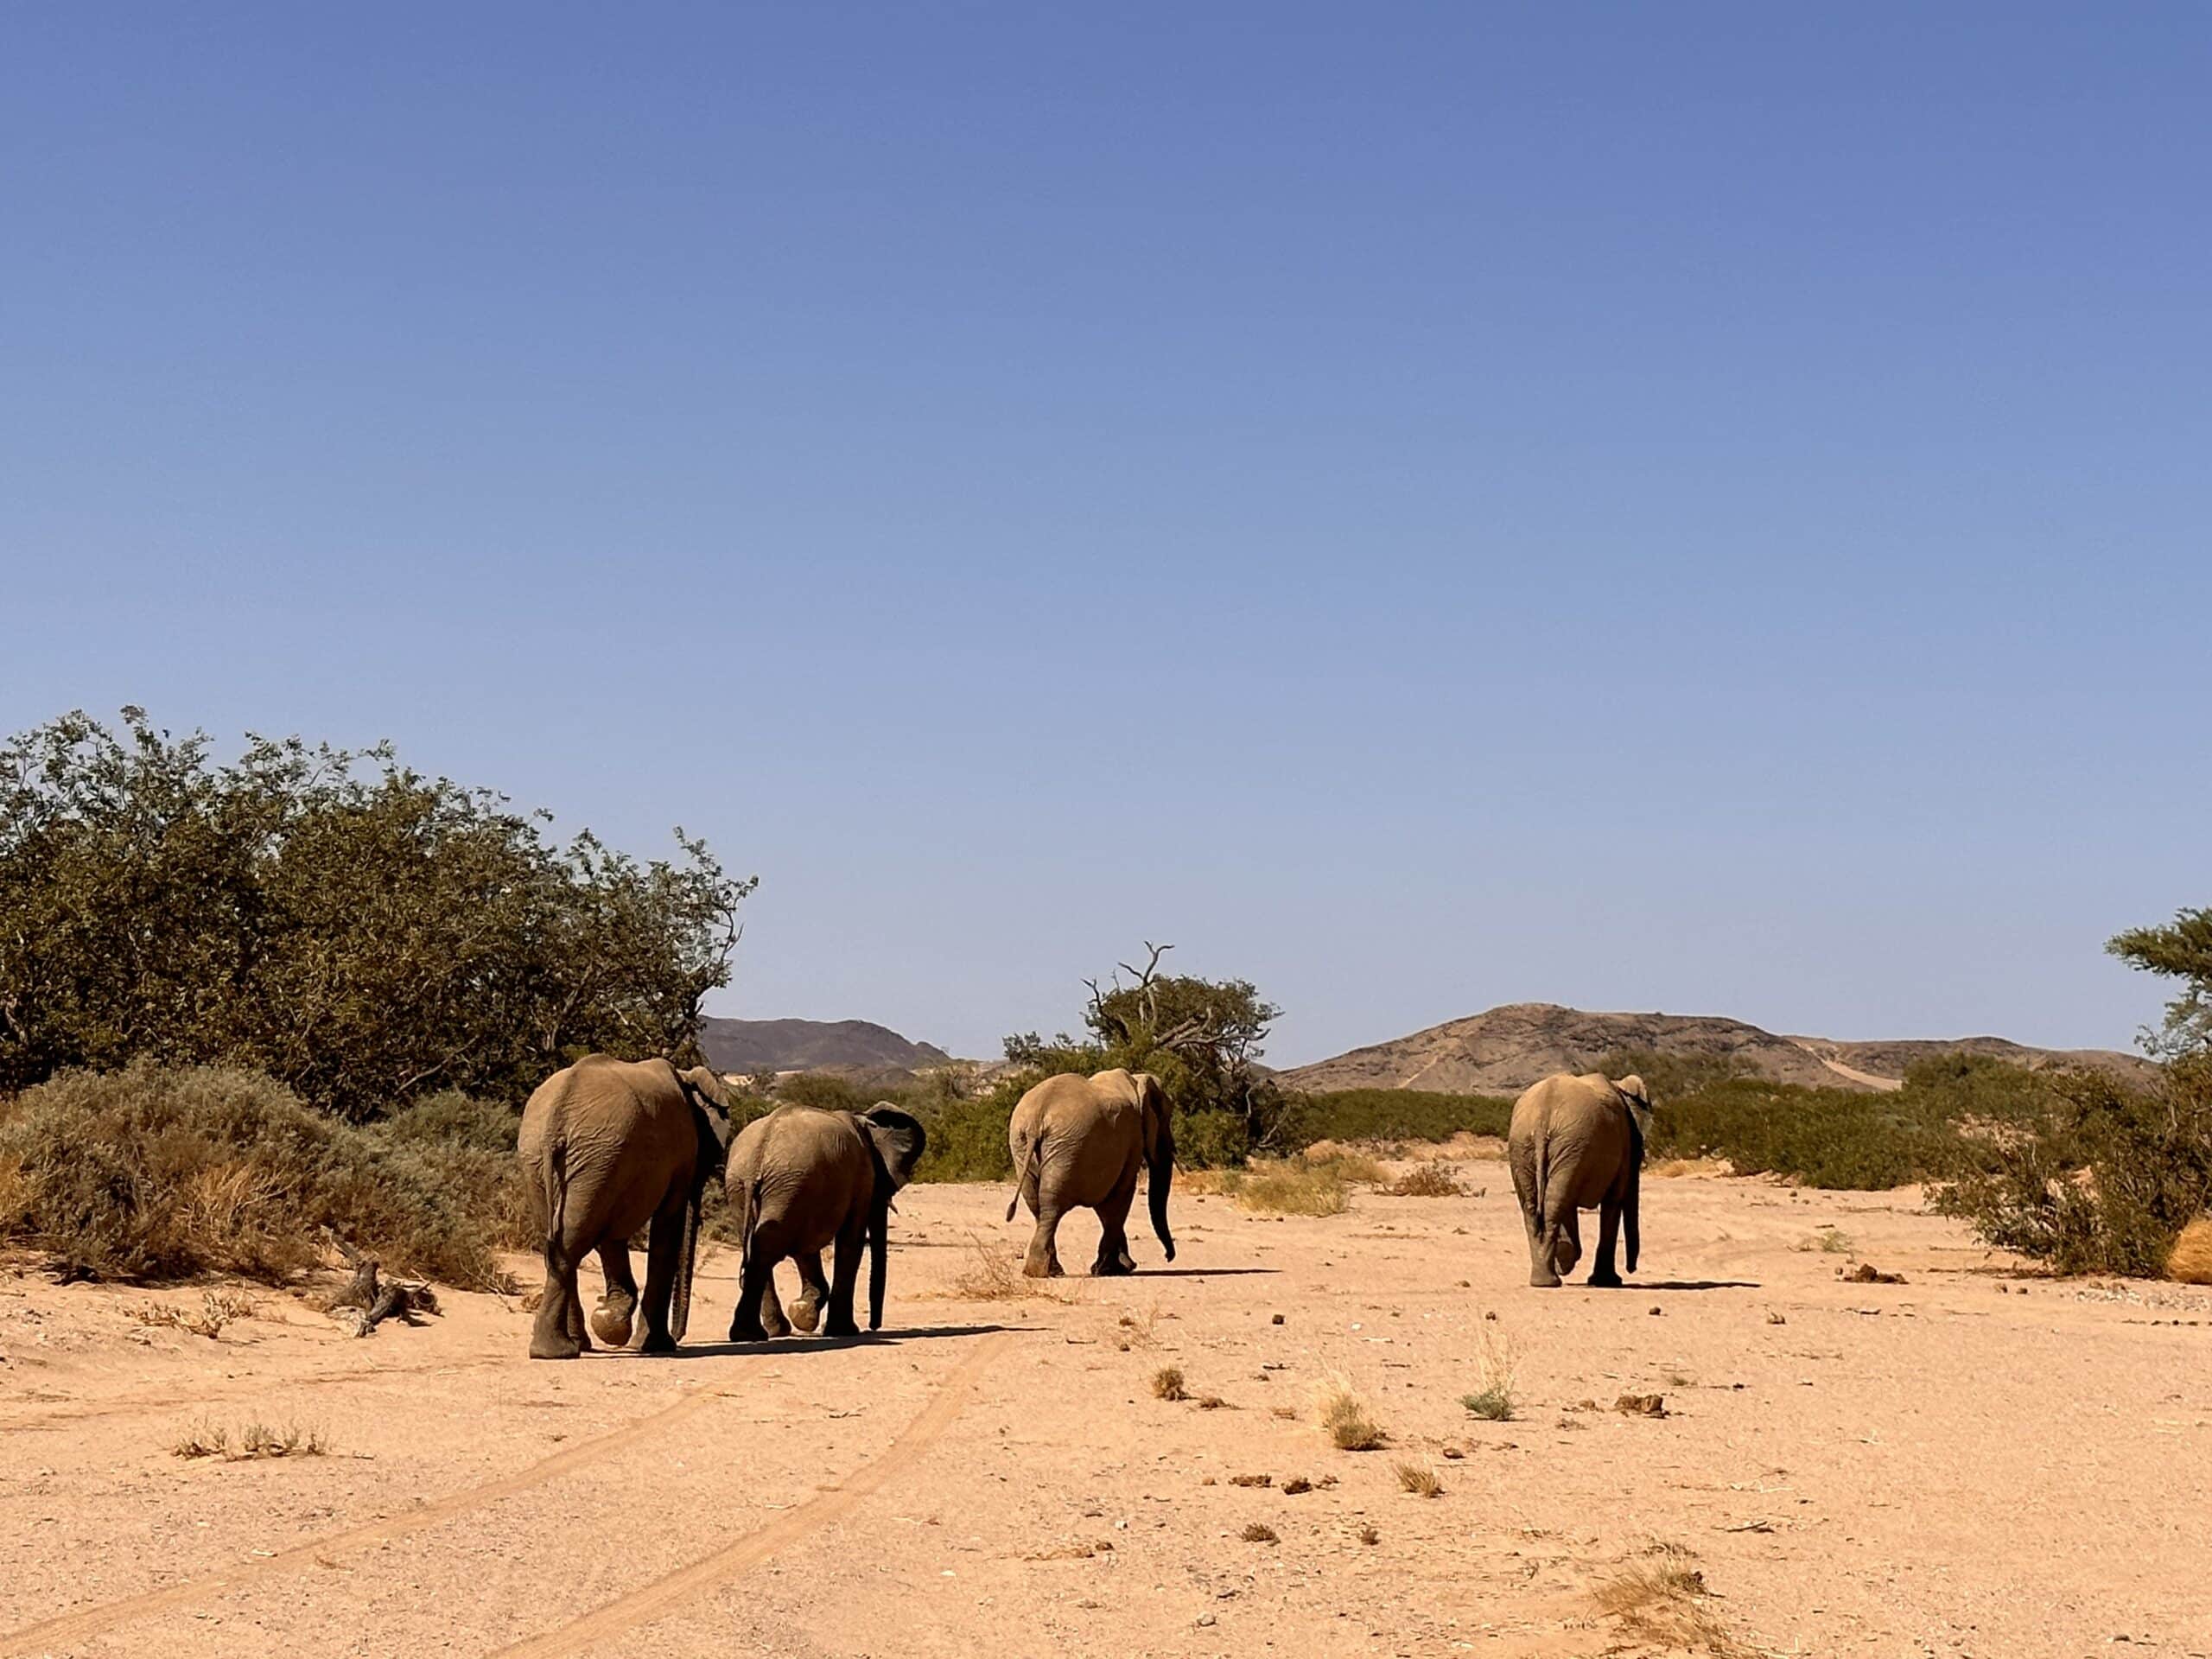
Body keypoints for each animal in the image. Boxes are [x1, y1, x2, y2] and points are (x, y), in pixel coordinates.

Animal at [518, 1055, 734, 1359]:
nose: (680, 1337)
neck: (686, 1076)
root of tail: (556, 1118)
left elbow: (612, 1237)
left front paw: (613, 1320)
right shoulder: (680, 1155)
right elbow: (667, 1225)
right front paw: (653, 1344)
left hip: (559, 1159)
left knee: (562, 1241)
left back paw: (567, 1347)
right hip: (593, 1156)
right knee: (571, 1242)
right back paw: (559, 1351)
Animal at [724, 1103, 927, 1341]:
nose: (874, 1326)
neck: (864, 1120)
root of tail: (759, 1152)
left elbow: (808, 1249)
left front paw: (805, 1312)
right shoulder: (861, 1179)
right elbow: (851, 1241)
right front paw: (843, 1331)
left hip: (757, 1187)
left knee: (758, 1245)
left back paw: (762, 1332)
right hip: (786, 1185)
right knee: (766, 1248)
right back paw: (754, 1333)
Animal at [1004, 1068, 1175, 1278]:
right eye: (1167, 1117)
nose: (1168, 1257)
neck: (1136, 1082)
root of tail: (1038, 1116)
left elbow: (1107, 1205)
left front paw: (1116, 1267)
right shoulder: (1134, 1138)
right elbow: (1119, 1197)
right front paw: (1110, 1270)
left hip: (1026, 1146)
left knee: (1037, 1204)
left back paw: (1045, 1271)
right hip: (1066, 1148)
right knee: (1052, 1206)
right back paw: (1041, 1271)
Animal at [1507, 1071, 1653, 1288]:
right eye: (1640, 1148)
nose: (1631, 1269)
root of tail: (1542, 1117)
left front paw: (1566, 1256)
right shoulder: (1623, 1146)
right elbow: (1613, 1201)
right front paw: (1607, 1281)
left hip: (1534, 1146)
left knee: (1539, 1205)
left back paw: (1544, 1280)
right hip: (1565, 1144)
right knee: (1552, 1203)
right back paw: (1551, 1278)